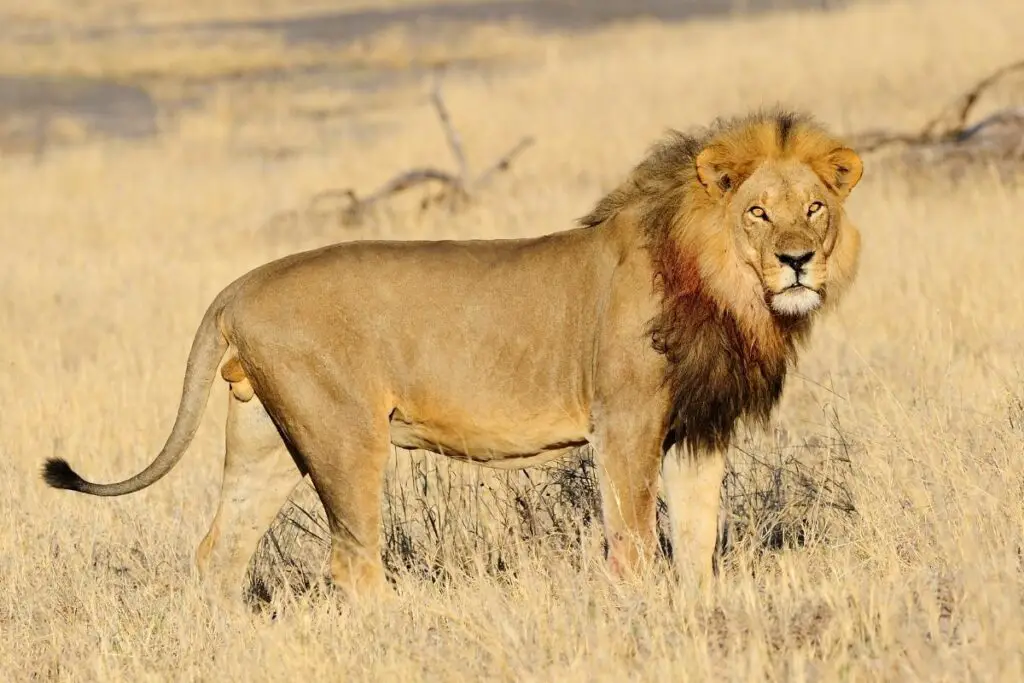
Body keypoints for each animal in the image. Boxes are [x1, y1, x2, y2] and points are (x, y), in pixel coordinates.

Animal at [42, 109, 863, 604]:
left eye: (814, 208)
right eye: (757, 212)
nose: (796, 261)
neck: (725, 287)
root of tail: (236, 287)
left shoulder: (700, 428)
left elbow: (698, 539)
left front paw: (696, 610)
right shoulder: (626, 422)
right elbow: (632, 539)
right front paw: (636, 611)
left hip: (268, 438)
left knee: (220, 551)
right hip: (345, 436)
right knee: (352, 562)